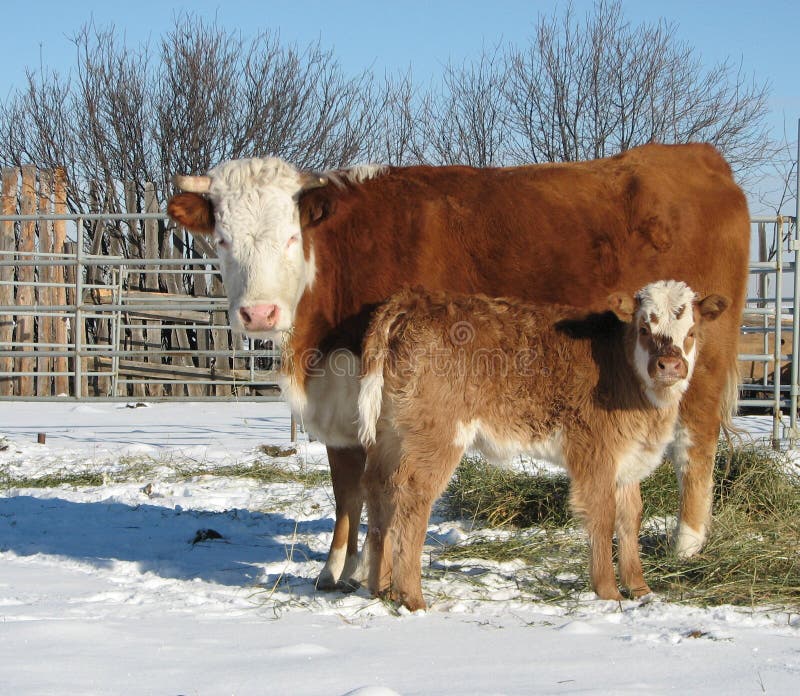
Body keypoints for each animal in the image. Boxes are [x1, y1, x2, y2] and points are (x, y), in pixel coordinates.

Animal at [357, 281, 730, 610]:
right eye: (643, 329)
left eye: (692, 332)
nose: (670, 365)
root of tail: (412, 300)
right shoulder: (595, 452)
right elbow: (602, 516)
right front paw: (609, 593)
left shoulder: (629, 458)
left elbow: (630, 518)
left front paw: (640, 589)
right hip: (437, 434)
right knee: (413, 497)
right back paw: (412, 597)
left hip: (390, 431)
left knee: (379, 490)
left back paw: (380, 588)